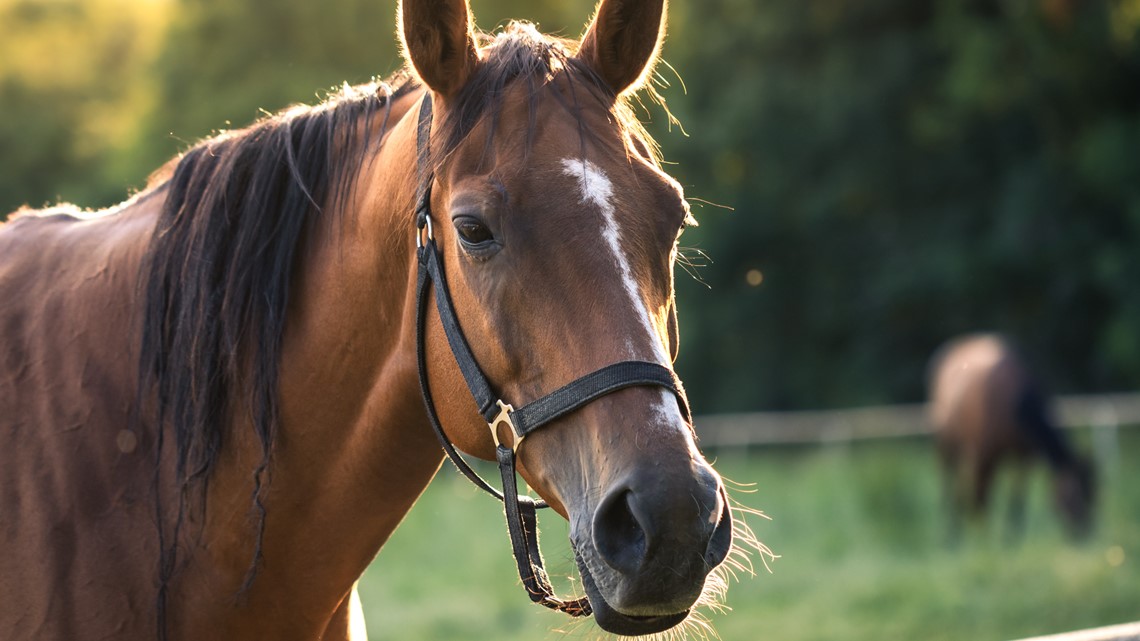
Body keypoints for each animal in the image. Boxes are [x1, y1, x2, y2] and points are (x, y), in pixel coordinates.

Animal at [927, 333, 1095, 540]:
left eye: (1094, 496)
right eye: (1073, 497)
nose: (1085, 535)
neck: (1015, 402)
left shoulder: (1024, 458)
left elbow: (1017, 497)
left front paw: (1013, 536)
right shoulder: (986, 455)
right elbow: (981, 497)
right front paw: (983, 538)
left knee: (962, 490)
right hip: (947, 446)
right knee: (950, 485)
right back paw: (951, 534)